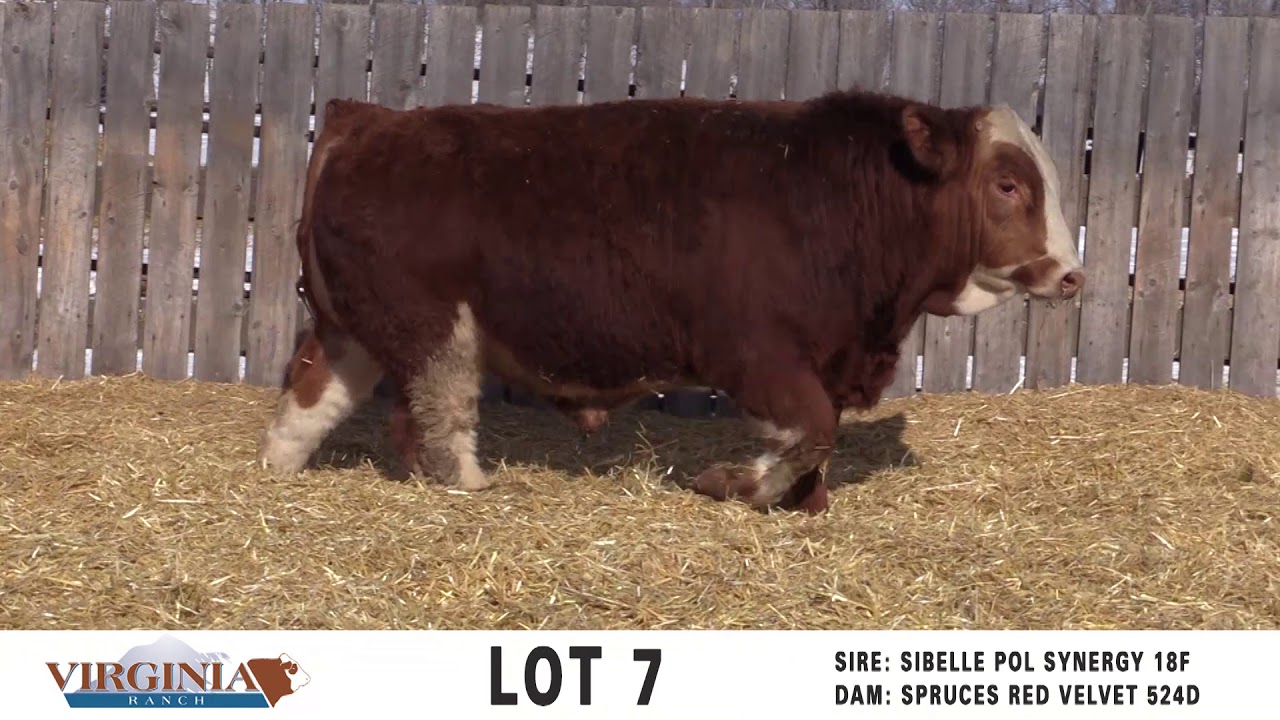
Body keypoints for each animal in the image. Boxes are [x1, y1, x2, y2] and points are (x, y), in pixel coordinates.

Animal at [257, 88, 1084, 515]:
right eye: (1008, 183)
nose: (1071, 274)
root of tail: (368, 119)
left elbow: (818, 443)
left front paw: (803, 504)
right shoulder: (758, 356)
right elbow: (812, 429)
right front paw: (734, 484)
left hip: (352, 334)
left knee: (309, 398)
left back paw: (276, 473)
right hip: (435, 336)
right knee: (437, 420)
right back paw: (470, 485)